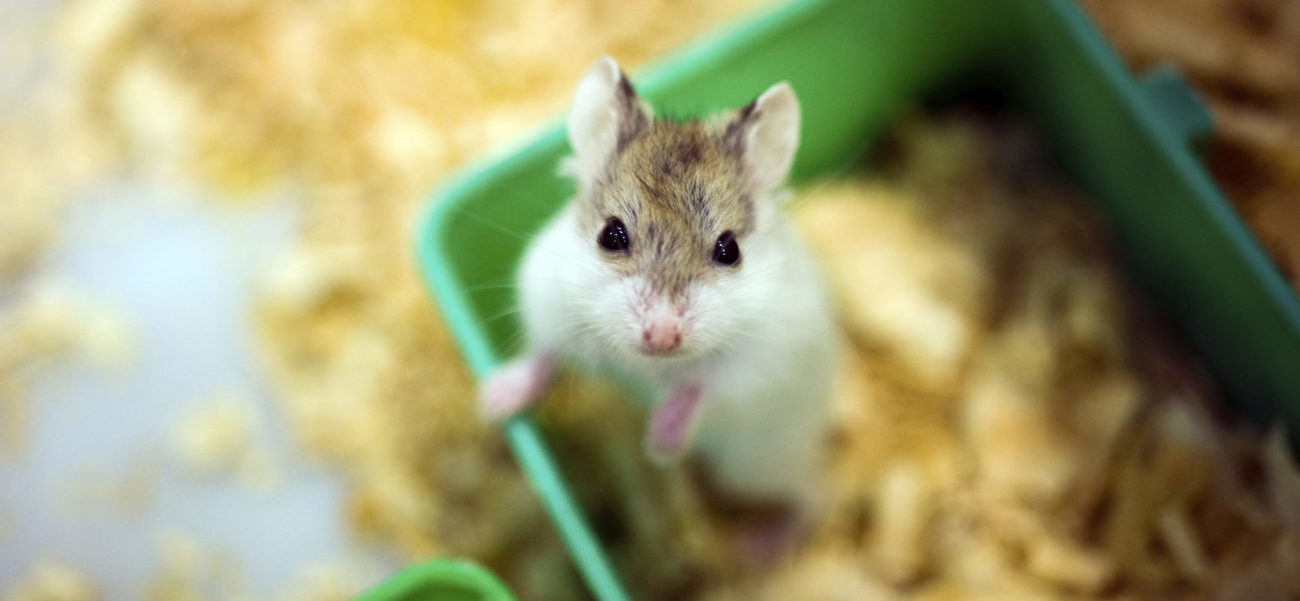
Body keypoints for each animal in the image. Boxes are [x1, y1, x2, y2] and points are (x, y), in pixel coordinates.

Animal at [480, 56, 836, 504]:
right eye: (610, 235)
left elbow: (699, 388)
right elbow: (542, 355)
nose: (662, 336)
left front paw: (659, 446)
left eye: (730, 250)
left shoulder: (759, 364)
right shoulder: (548, 304)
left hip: (763, 467)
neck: (648, 363)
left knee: (807, 498)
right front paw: (493, 400)